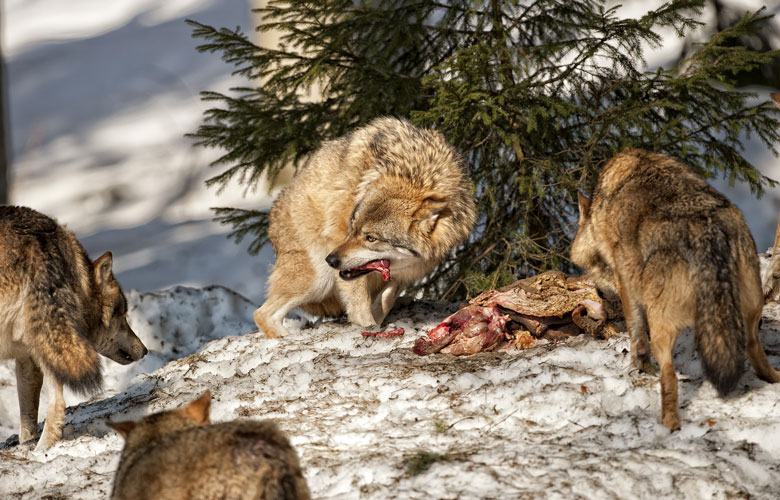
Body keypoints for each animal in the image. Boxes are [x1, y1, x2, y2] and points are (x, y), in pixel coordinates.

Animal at [0, 206, 147, 449]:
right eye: (123, 314)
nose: (145, 350)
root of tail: (36, 239)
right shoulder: (27, 359)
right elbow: (27, 419)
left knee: (58, 403)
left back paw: (42, 452)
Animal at [253, 117, 476, 338]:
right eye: (352, 228)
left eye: (371, 238)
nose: (331, 260)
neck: (416, 174)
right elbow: (359, 303)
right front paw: (367, 326)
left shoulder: (411, 269)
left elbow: (387, 295)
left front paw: (379, 317)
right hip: (317, 279)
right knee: (262, 314)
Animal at [571, 149, 780, 430]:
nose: (601, 294)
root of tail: (707, 236)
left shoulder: (627, 285)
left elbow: (637, 336)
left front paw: (637, 367)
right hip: (750, 313)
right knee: (754, 349)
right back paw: (774, 379)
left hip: (662, 327)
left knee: (668, 375)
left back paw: (668, 425)